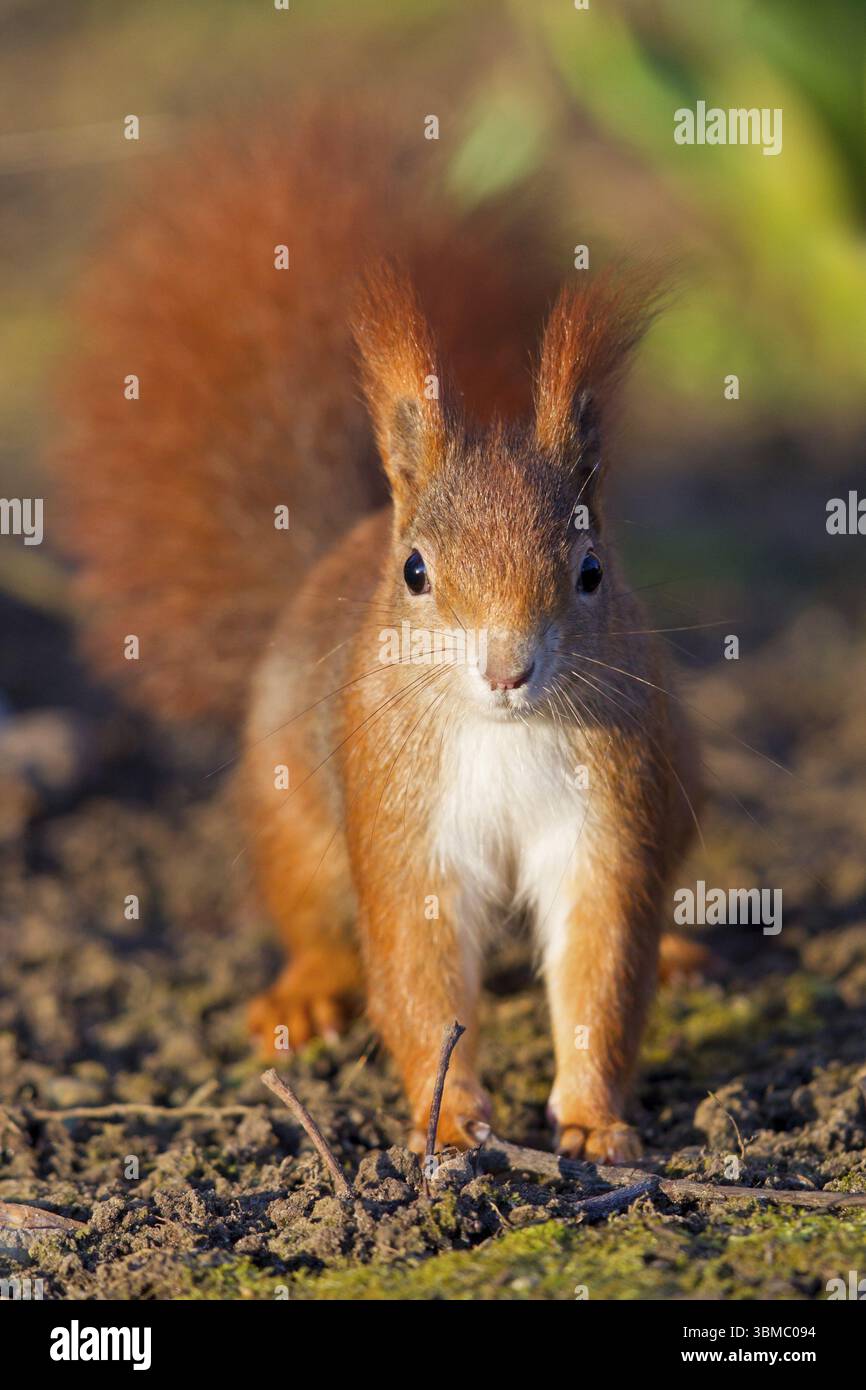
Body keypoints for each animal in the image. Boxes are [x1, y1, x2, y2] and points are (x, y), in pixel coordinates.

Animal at [53, 103, 703, 1164]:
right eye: (417, 574)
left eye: (592, 573)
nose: (507, 670)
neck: (504, 736)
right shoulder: (405, 822)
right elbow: (418, 971)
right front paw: (452, 1121)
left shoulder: (610, 818)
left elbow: (601, 968)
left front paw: (594, 1120)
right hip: (296, 817)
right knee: (318, 923)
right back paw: (307, 995)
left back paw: (686, 948)